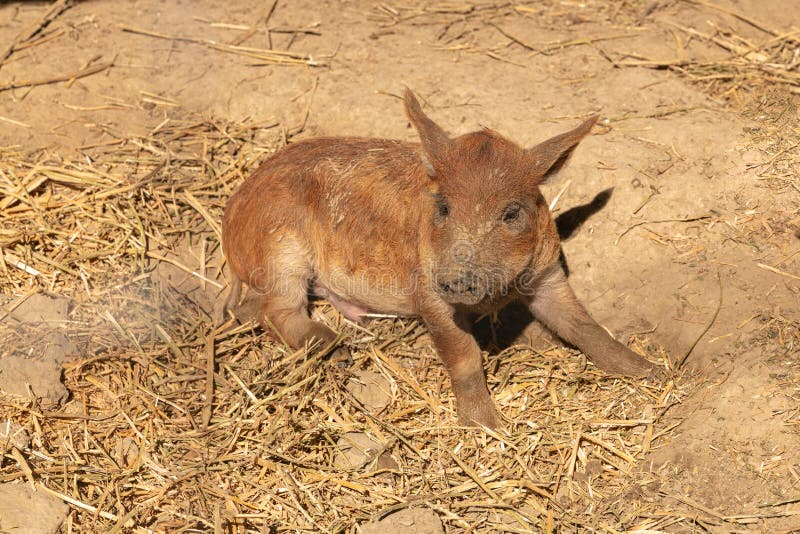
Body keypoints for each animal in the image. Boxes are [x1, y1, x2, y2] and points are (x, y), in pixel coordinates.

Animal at [221, 89, 654, 429]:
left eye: (511, 213)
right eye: (444, 207)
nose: (458, 277)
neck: (498, 293)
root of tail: (230, 221)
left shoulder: (547, 275)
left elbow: (586, 327)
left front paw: (651, 372)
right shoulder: (428, 292)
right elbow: (463, 354)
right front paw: (486, 428)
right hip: (280, 247)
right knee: (273, 310)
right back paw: (339, 350)